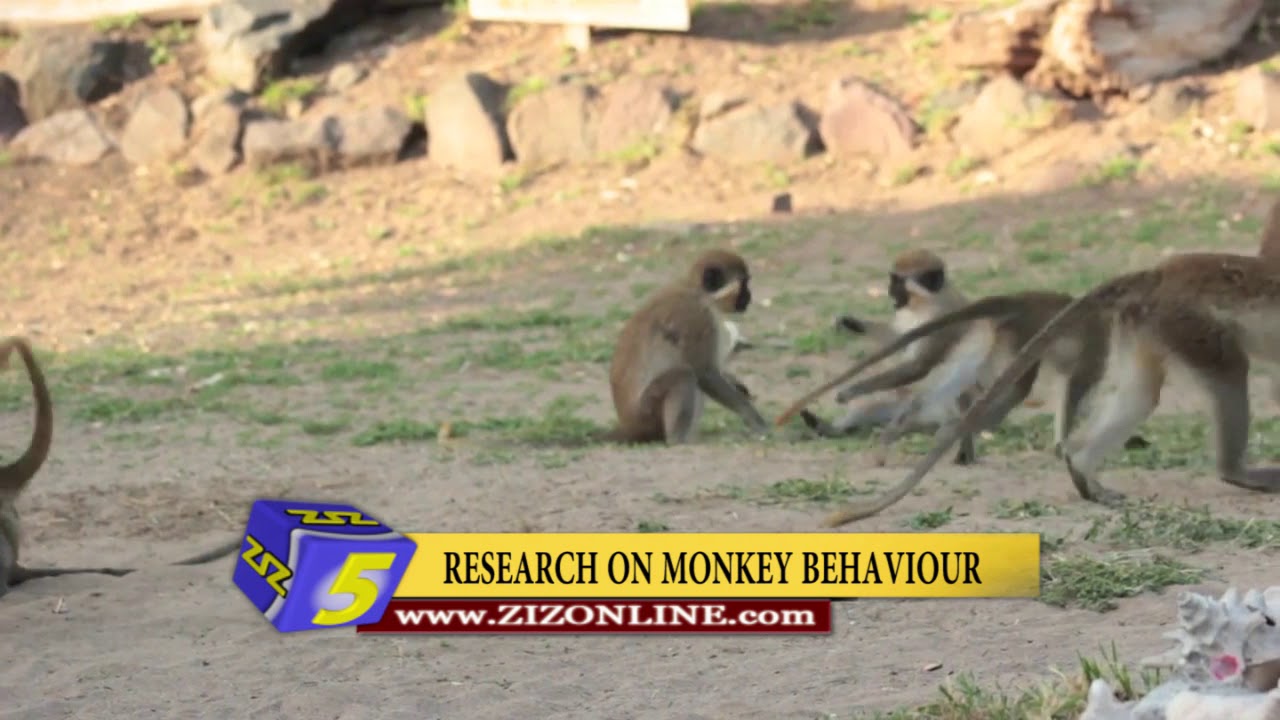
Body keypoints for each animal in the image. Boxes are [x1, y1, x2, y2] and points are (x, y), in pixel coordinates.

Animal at [604, 248, 770, 444]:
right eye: (744, 284)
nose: (749, 296)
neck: (697, 292)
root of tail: (629, 427)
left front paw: (736, 383)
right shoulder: (698, 317)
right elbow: (705, 373)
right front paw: (753, 418)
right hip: (647, 413)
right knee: (684, 374)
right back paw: (677, 440)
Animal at [820, 249, 1280, 527]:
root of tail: (1161, 273)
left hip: (1150, 323)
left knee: (1141, 394)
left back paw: (1081, 468)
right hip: (1185, 320)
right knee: (1229, 371)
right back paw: (1234, 471)